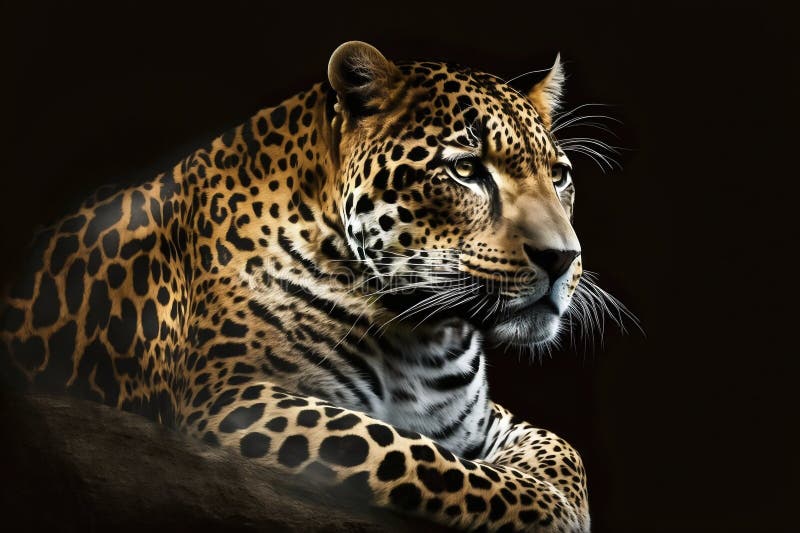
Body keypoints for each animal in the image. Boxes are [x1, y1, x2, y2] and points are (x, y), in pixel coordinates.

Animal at [1, 41, 591, 532]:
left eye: (559, 175)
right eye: (466, 170)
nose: (563, 258)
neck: (425, 334)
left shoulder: (472, 420)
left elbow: (560, 446)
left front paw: (563, 495)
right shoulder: (230, 398)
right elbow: (407, 450)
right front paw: (547, 508)